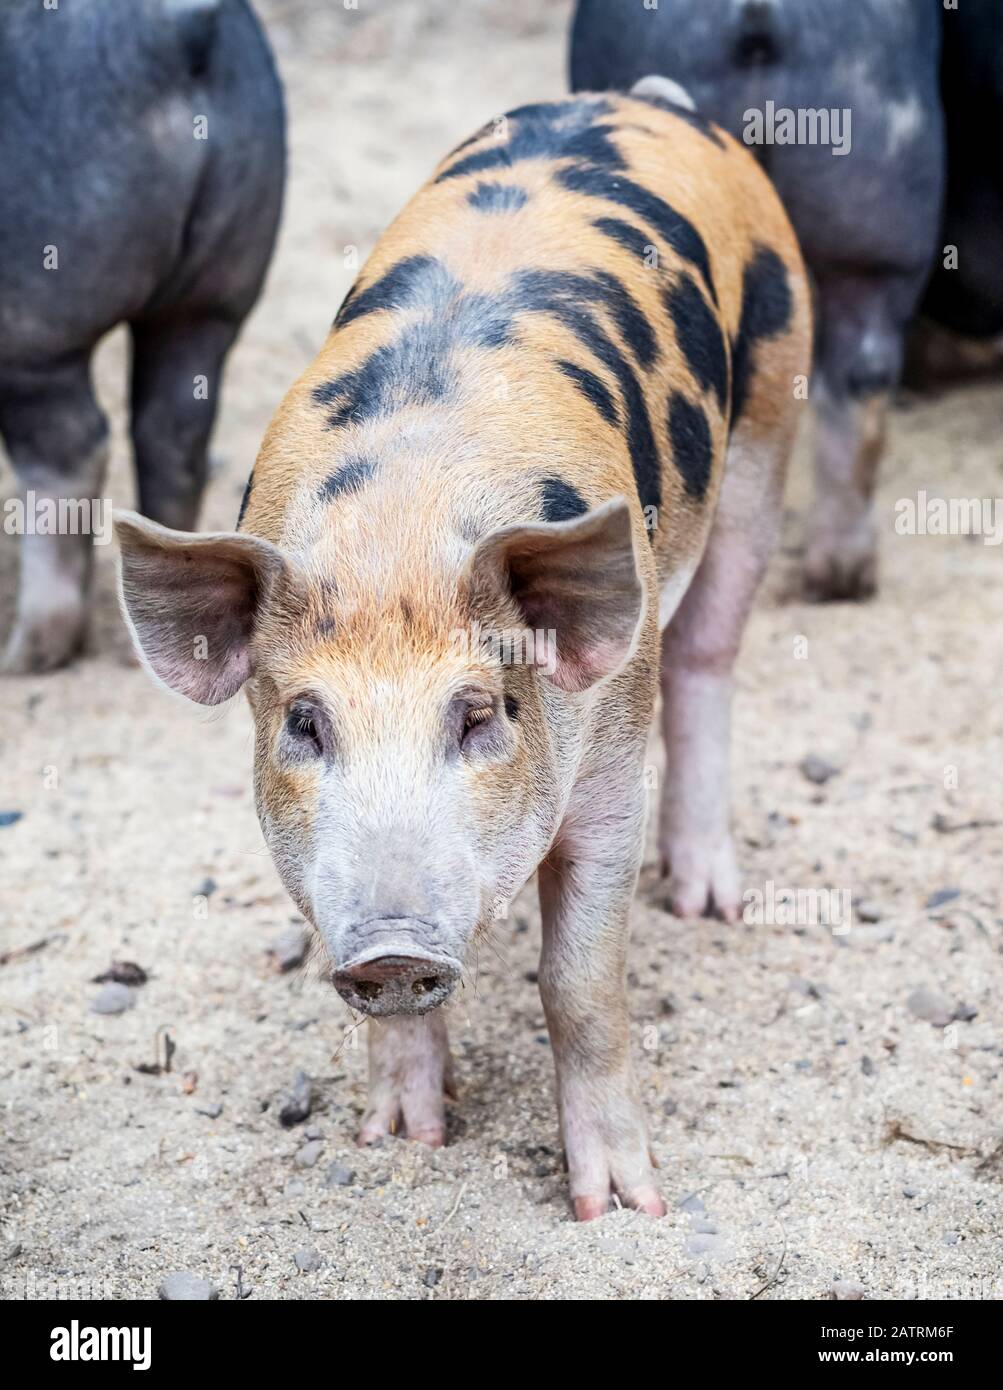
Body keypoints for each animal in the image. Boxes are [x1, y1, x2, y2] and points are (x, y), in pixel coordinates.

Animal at [0, 0, 284, 674]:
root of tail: (175, 30)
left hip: (34, 329)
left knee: (71, 450)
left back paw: (23, 657)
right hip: (212, 303)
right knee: (172, 430)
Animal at [117, 87, 811, 1219]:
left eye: (480, 713)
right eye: (304, 722)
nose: (394, 946)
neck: (399, 526)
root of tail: (647, 100)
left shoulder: (612, 739)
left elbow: (578, 981)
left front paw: (618, 1207)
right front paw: (403, 1139)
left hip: (768, 423)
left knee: (710, 651)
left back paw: (705, 899)